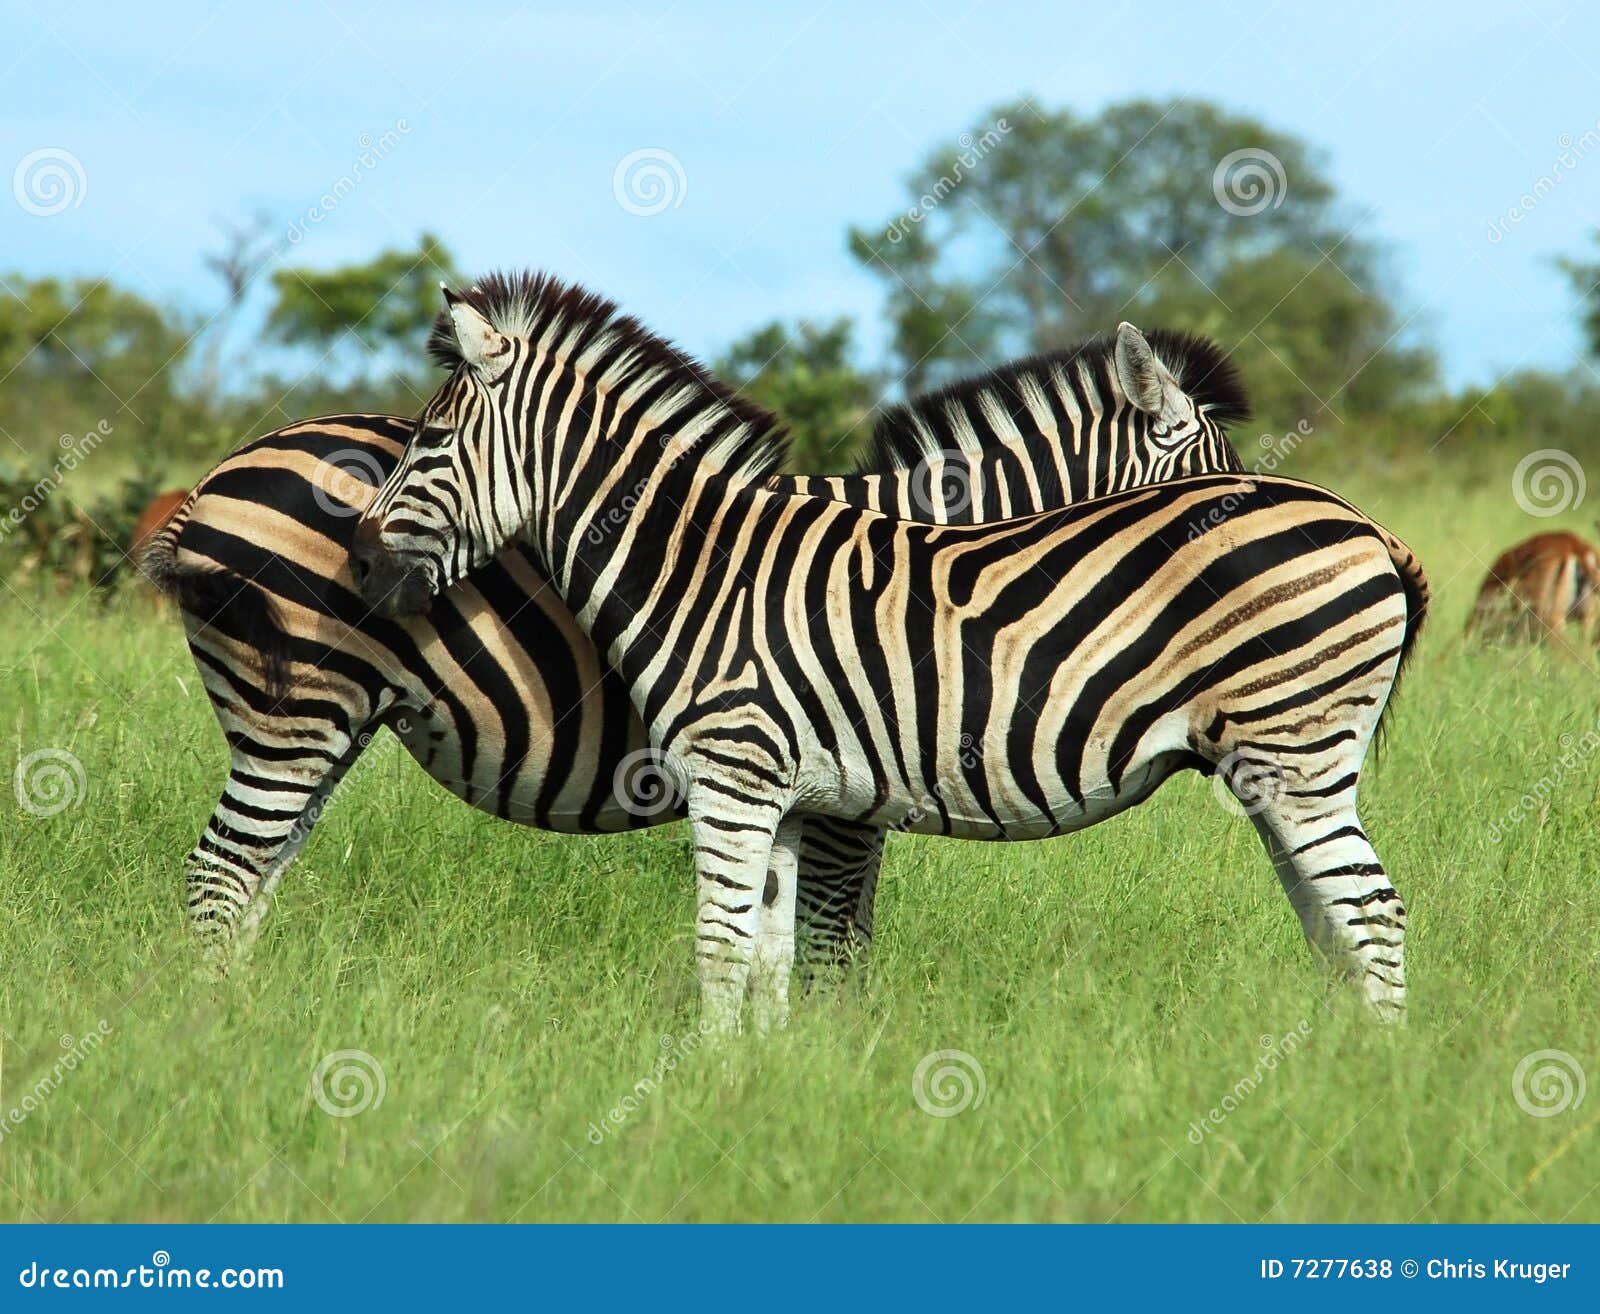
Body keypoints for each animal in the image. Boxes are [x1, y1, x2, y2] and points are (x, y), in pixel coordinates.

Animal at [143, 318, 1249, 969]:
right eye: (1217, 499)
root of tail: (221, 471)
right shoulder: (841, 797)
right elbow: (829, 947)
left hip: (331, 723)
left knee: (251, 882)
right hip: (296, 705)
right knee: (221, 878)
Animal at [352, 273, 1428, 1034]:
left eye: (432, 445)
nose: (359, 561)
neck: (698, 561)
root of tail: (1373, 529)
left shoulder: (745, 779)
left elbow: (738, 950)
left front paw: (709, 1093)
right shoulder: (802, 798)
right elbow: (775, 956)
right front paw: (771, 1085)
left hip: (1291, 756)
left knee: (1368, 913)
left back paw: (1368, 1074)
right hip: (1275, 764)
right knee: (1337, 921)